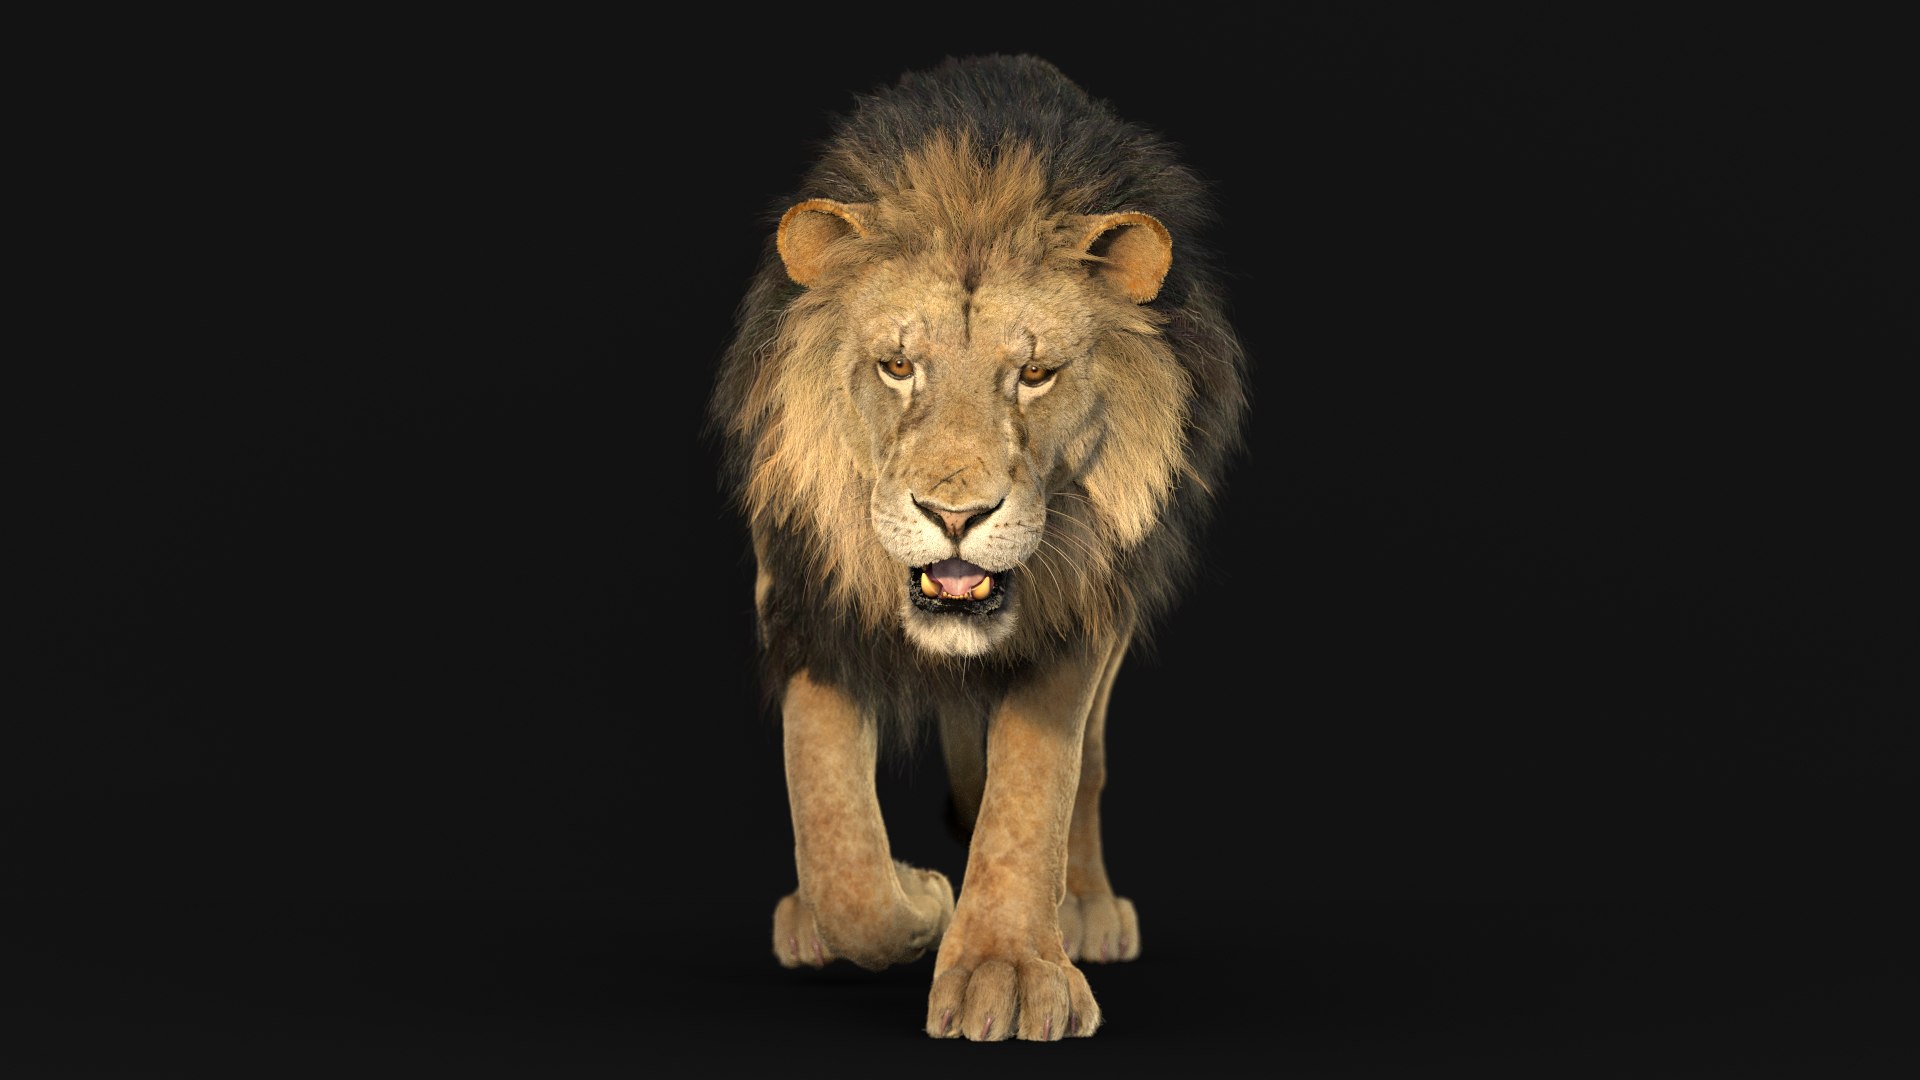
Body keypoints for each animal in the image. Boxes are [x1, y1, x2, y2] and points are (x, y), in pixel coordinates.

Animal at [706, 54, 1249, 1041]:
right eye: (897, 365)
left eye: (1034, 373)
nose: (953, 515)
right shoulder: (804, 592)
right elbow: (834, 825)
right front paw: (919, 898)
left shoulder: (1080, 608)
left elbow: (1034, 786)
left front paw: (1005, 964)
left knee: (1089, 766)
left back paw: (1083, 908)